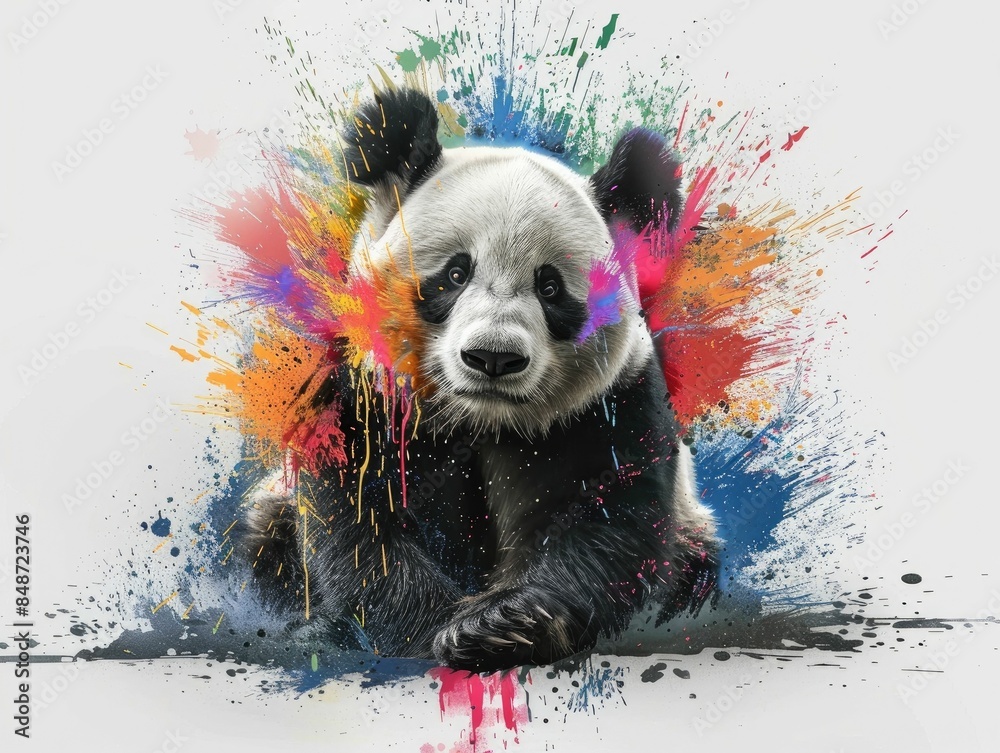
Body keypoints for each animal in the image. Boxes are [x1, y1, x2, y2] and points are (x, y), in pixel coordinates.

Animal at [239, 87, 720, 673]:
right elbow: (358, 519)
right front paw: (428, 632)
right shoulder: (364, 392)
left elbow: (607, 527)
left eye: (550, 288)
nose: (493, 357)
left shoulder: (611, 406)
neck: (481, 417)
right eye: (454, 273)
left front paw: (497, 626)